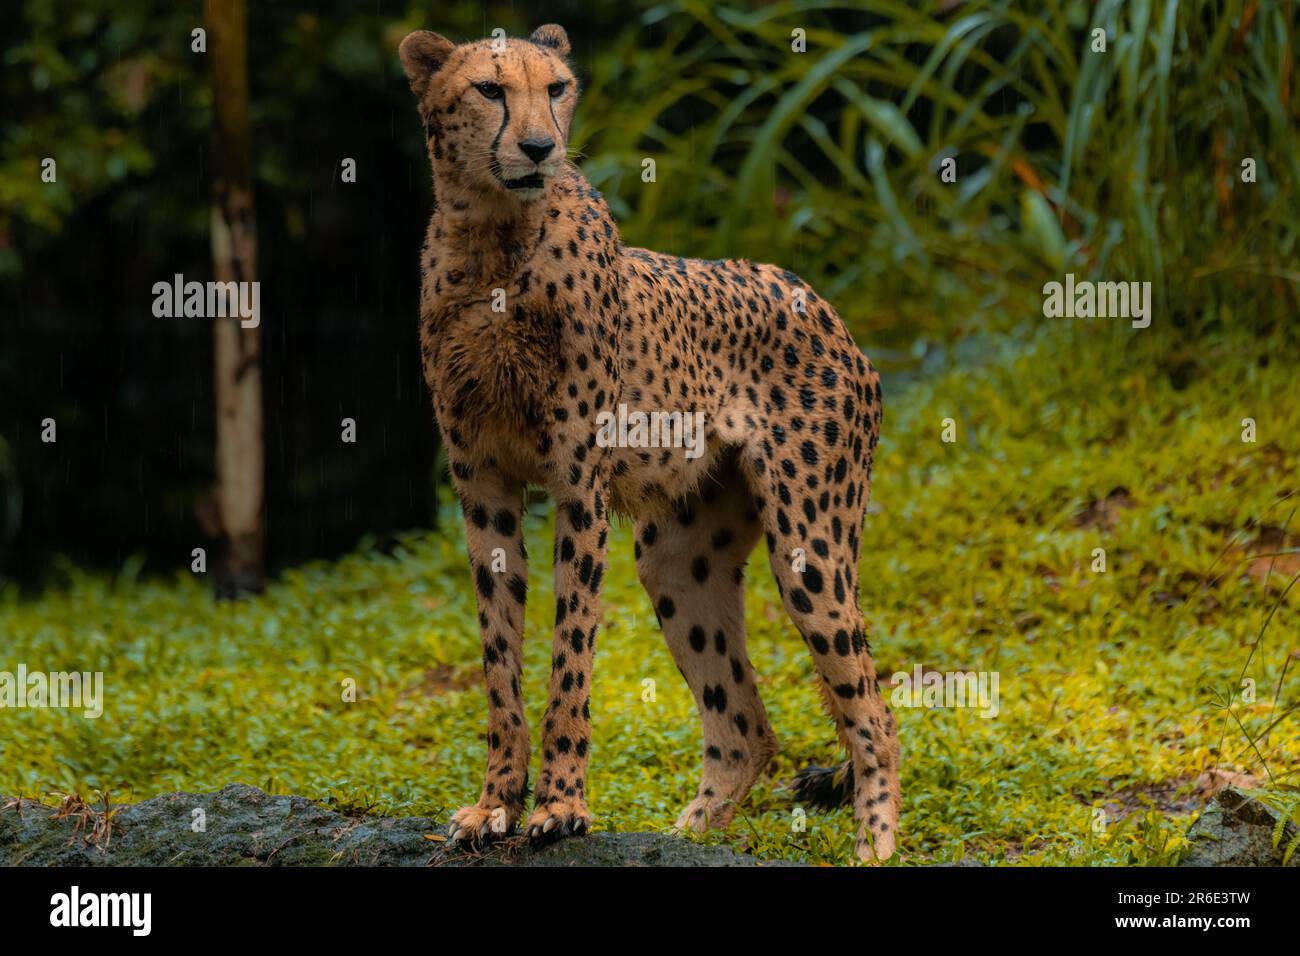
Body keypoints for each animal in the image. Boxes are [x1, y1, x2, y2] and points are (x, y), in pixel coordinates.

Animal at [399, 23, 899, 862]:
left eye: (557, 87)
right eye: (489, 90)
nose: (539, 147)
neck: (496, 236)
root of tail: (819, 299)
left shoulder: (579, 483)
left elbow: (570, 657)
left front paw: (561, 807)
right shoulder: (482, 485)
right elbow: (500, 664)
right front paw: (495, 804)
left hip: (810, 544)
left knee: (875, 713)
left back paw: (875, 844)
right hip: (677, 560)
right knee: (744, 727)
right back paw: (688, 833)